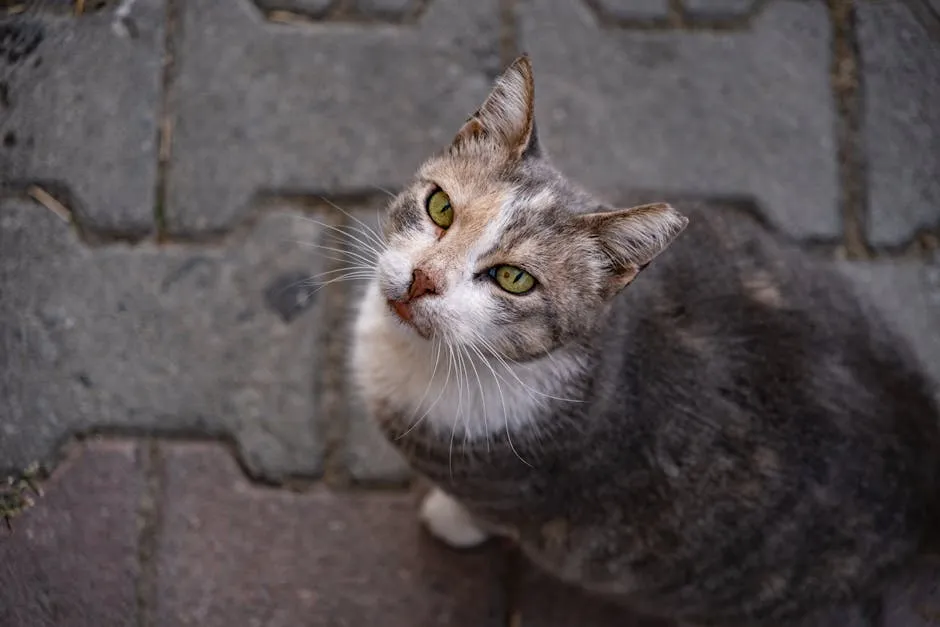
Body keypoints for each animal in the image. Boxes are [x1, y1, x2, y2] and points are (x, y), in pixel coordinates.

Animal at [346, 56, 940, 624]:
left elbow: (480, 513)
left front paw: (447, 520)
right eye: (441, 207)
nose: (423, 279)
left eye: (514, 278)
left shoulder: (509, 489)